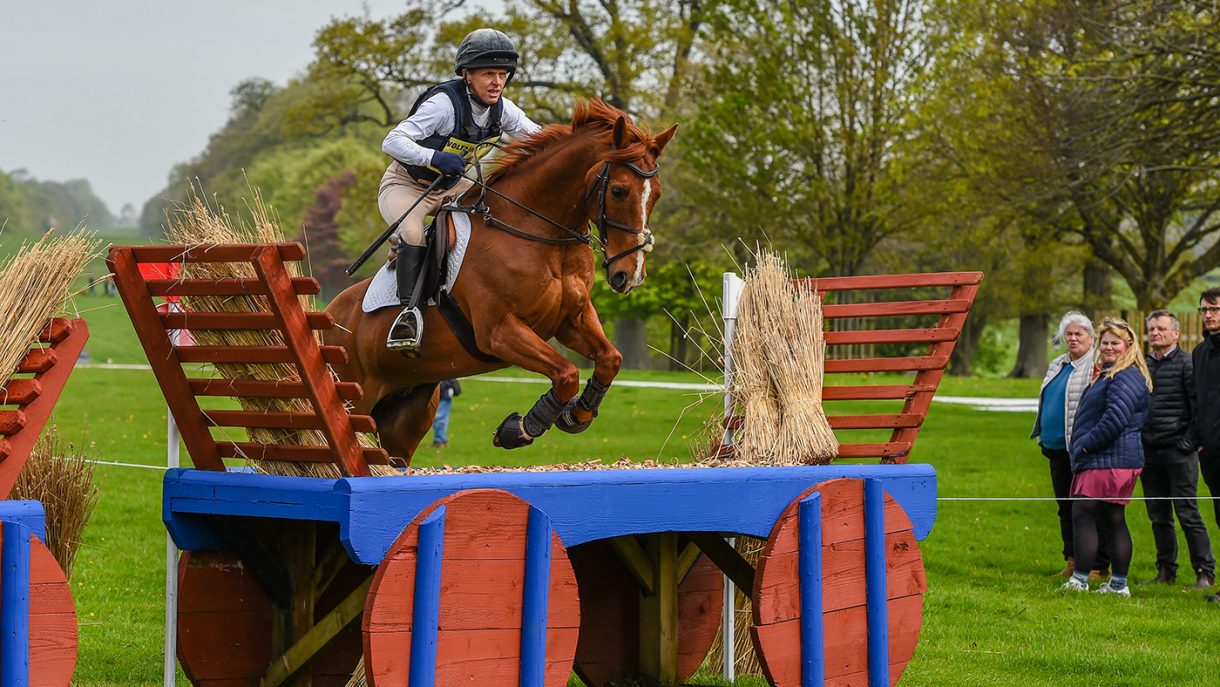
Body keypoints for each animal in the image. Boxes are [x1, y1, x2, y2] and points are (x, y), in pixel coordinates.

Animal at [324, 100, 678, 463]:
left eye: (656, 195)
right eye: (619, 191)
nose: (629, 275)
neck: (539, 234)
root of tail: (330, 313)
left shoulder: (571, 319)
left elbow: (610, 359)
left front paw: (576, 415)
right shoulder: (499, 332)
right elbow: (566, 374)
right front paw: (519, 429)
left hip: (406, 413)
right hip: (356, 396)